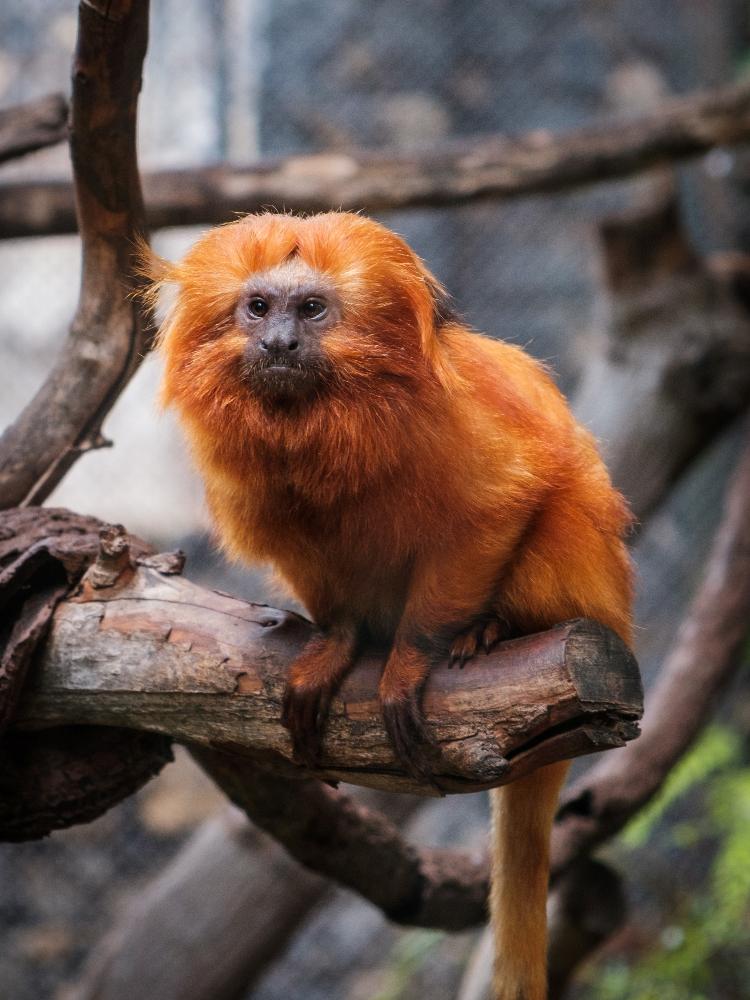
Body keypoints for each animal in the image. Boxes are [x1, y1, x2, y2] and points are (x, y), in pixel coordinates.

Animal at [148, 211, 633, 1000]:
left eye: (312, 309)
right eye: (259, 307)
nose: (279, 342)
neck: (327, 420)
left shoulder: (459, 433)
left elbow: (500, 505)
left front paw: (410, 662)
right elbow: (317, 564)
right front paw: (337, 646)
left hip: (587, 586)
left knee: (560, 508)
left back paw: (494, 630)